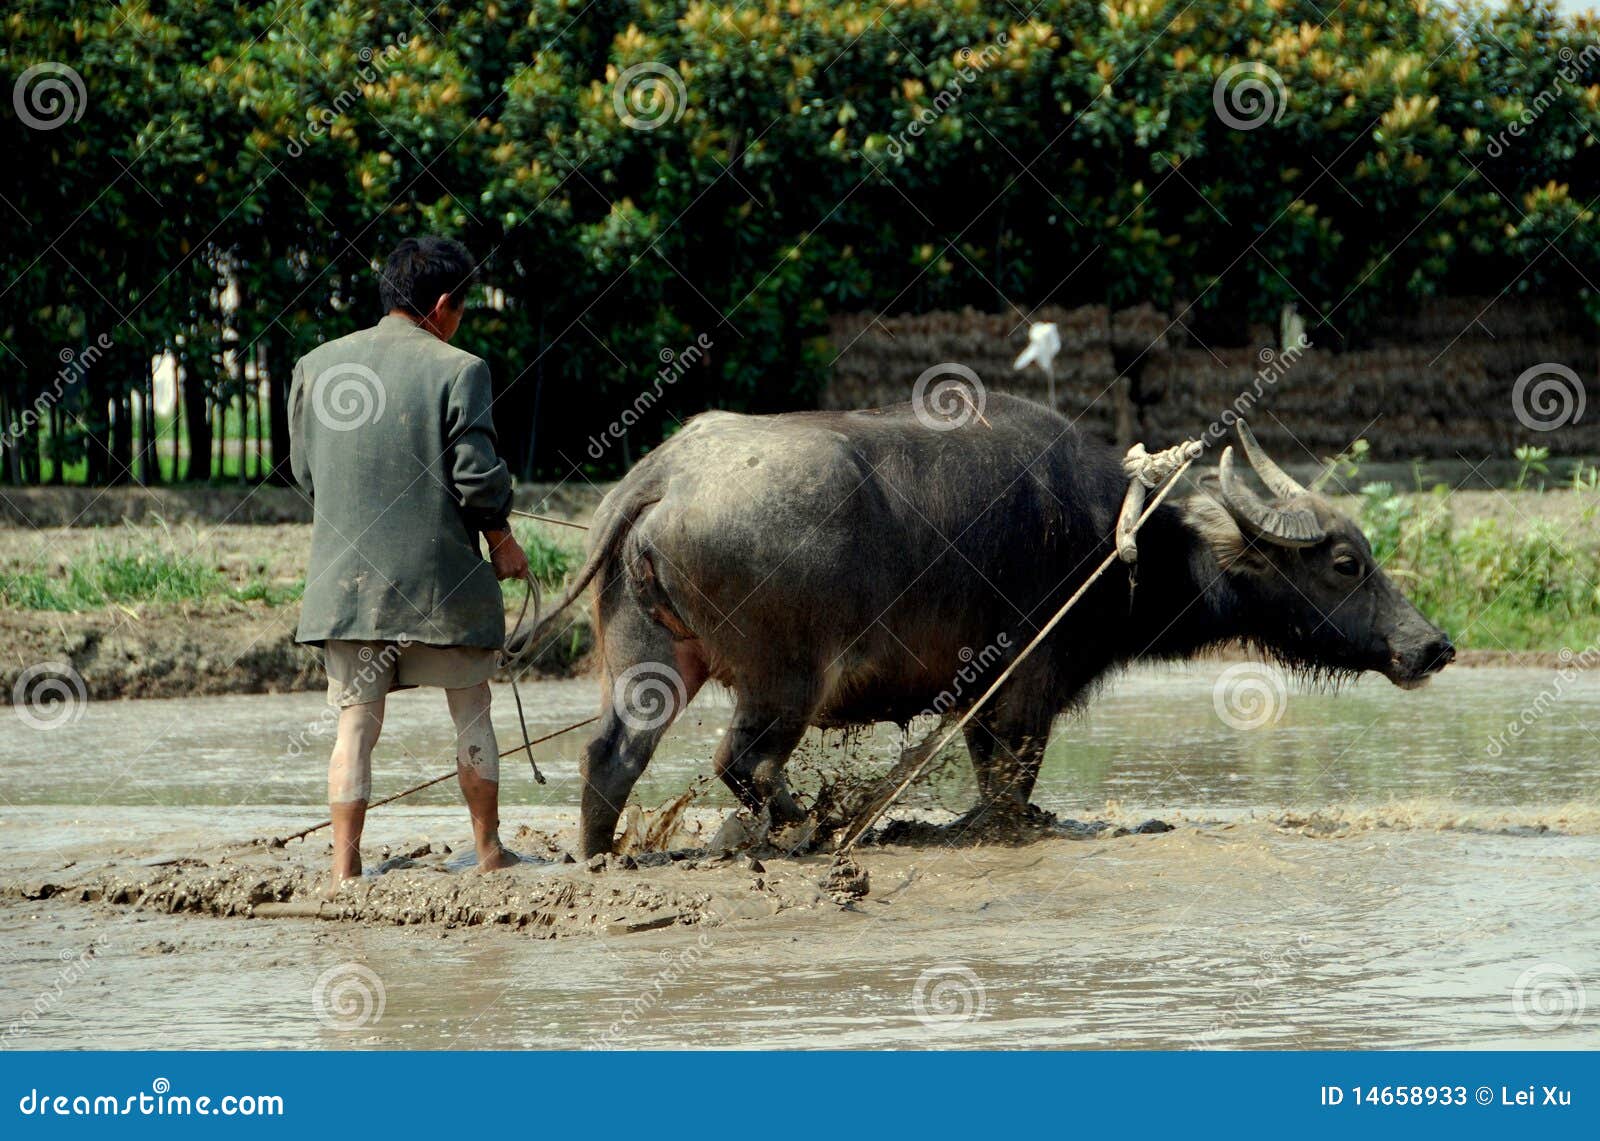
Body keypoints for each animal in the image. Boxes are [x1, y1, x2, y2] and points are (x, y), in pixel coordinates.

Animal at [534, 394, 1453, 857]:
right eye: (1346, 561)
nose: (1432, 645)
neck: (1113, 539)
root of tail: (661, 476)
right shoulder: (1024, 685)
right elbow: (1012, 780)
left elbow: (993, 777)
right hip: (782, 681)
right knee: (743, 762)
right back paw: (809, 827)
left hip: (651, 663)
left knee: (611, 758)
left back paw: (599, 852)